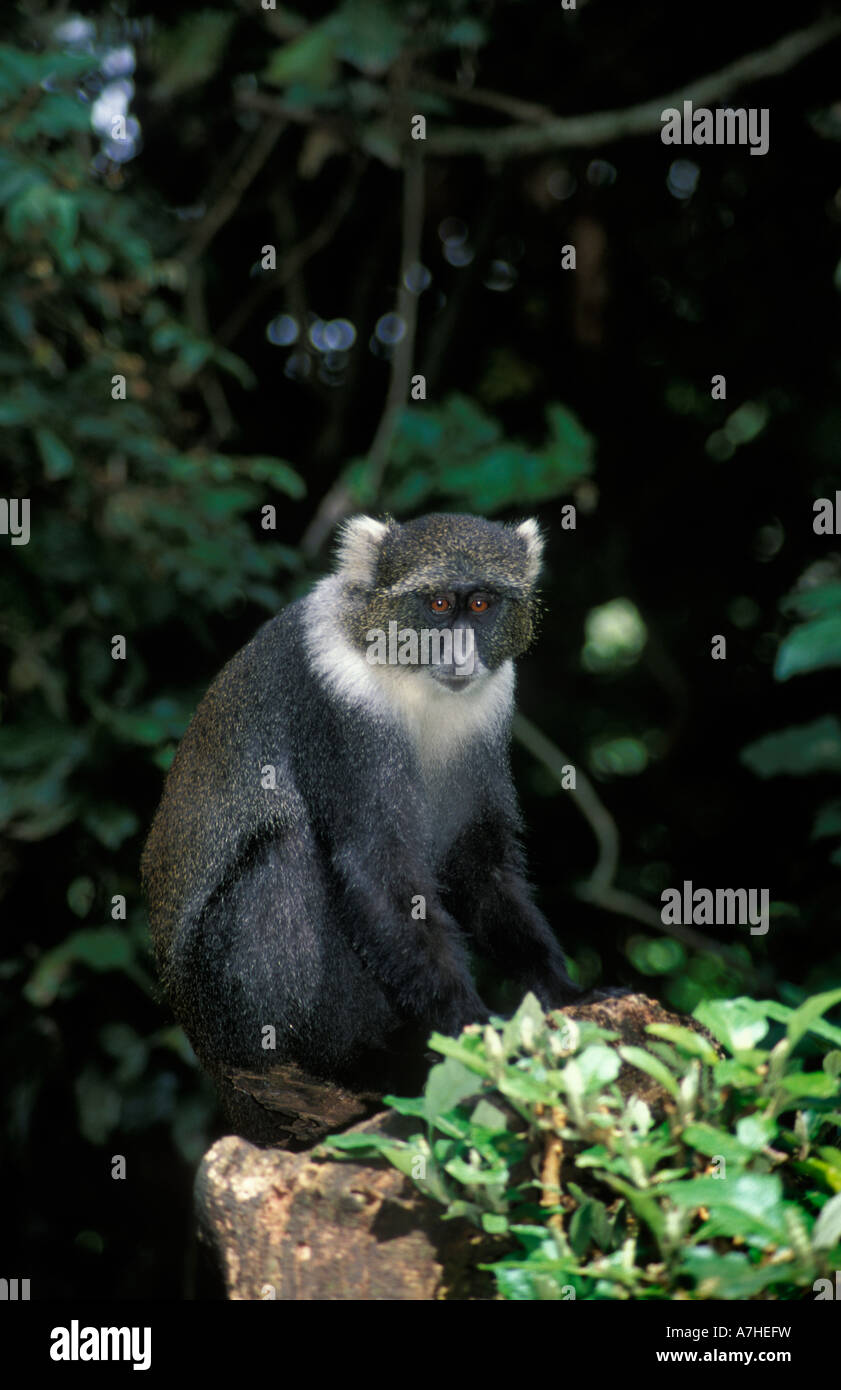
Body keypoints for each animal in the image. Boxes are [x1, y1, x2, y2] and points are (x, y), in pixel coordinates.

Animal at [141, 512, 580, 1140]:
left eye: (481, 604)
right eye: (438, 603)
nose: (461, 655)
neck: (411, 677)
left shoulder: (490, 707)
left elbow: (480, 865)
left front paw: (566, 992)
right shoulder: (339, 697)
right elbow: (377, 865)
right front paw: (469, 1028)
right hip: (222, 1013)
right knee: (283, 855)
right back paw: (339, 1064)